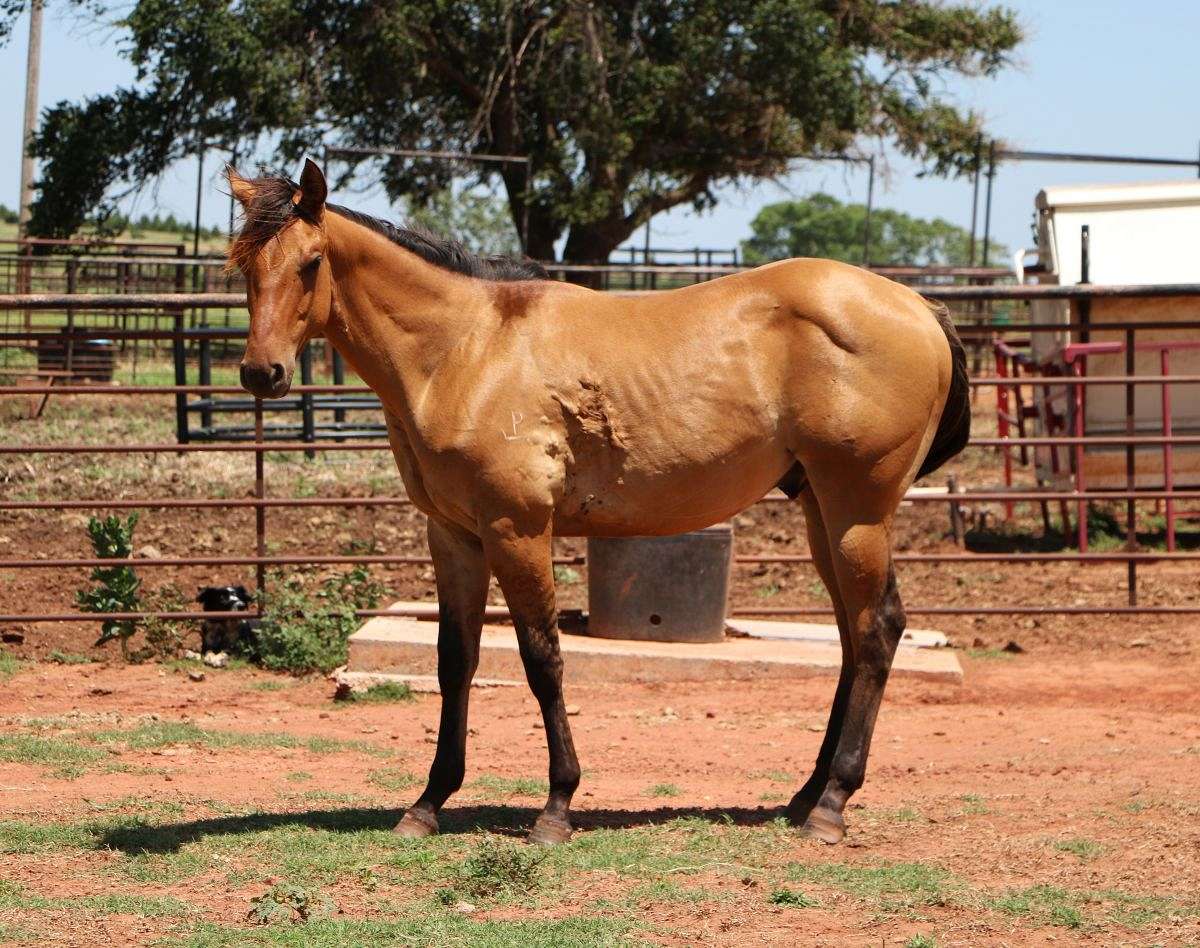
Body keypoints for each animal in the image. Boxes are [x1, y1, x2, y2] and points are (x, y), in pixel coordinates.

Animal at [226, 159, 970, 846]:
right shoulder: (455, 536)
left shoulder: (518, 530)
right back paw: (806, 794)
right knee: (852, 638)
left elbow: (542, 659)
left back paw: (832, 805)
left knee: (876, 633)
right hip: (822, 512)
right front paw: (429, 802)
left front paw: (556, 807)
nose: (262, 373)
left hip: (857, 515)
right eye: (242, 267)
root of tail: (919, 308)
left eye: (311, 263)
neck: (466, 350)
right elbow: (454, 661)